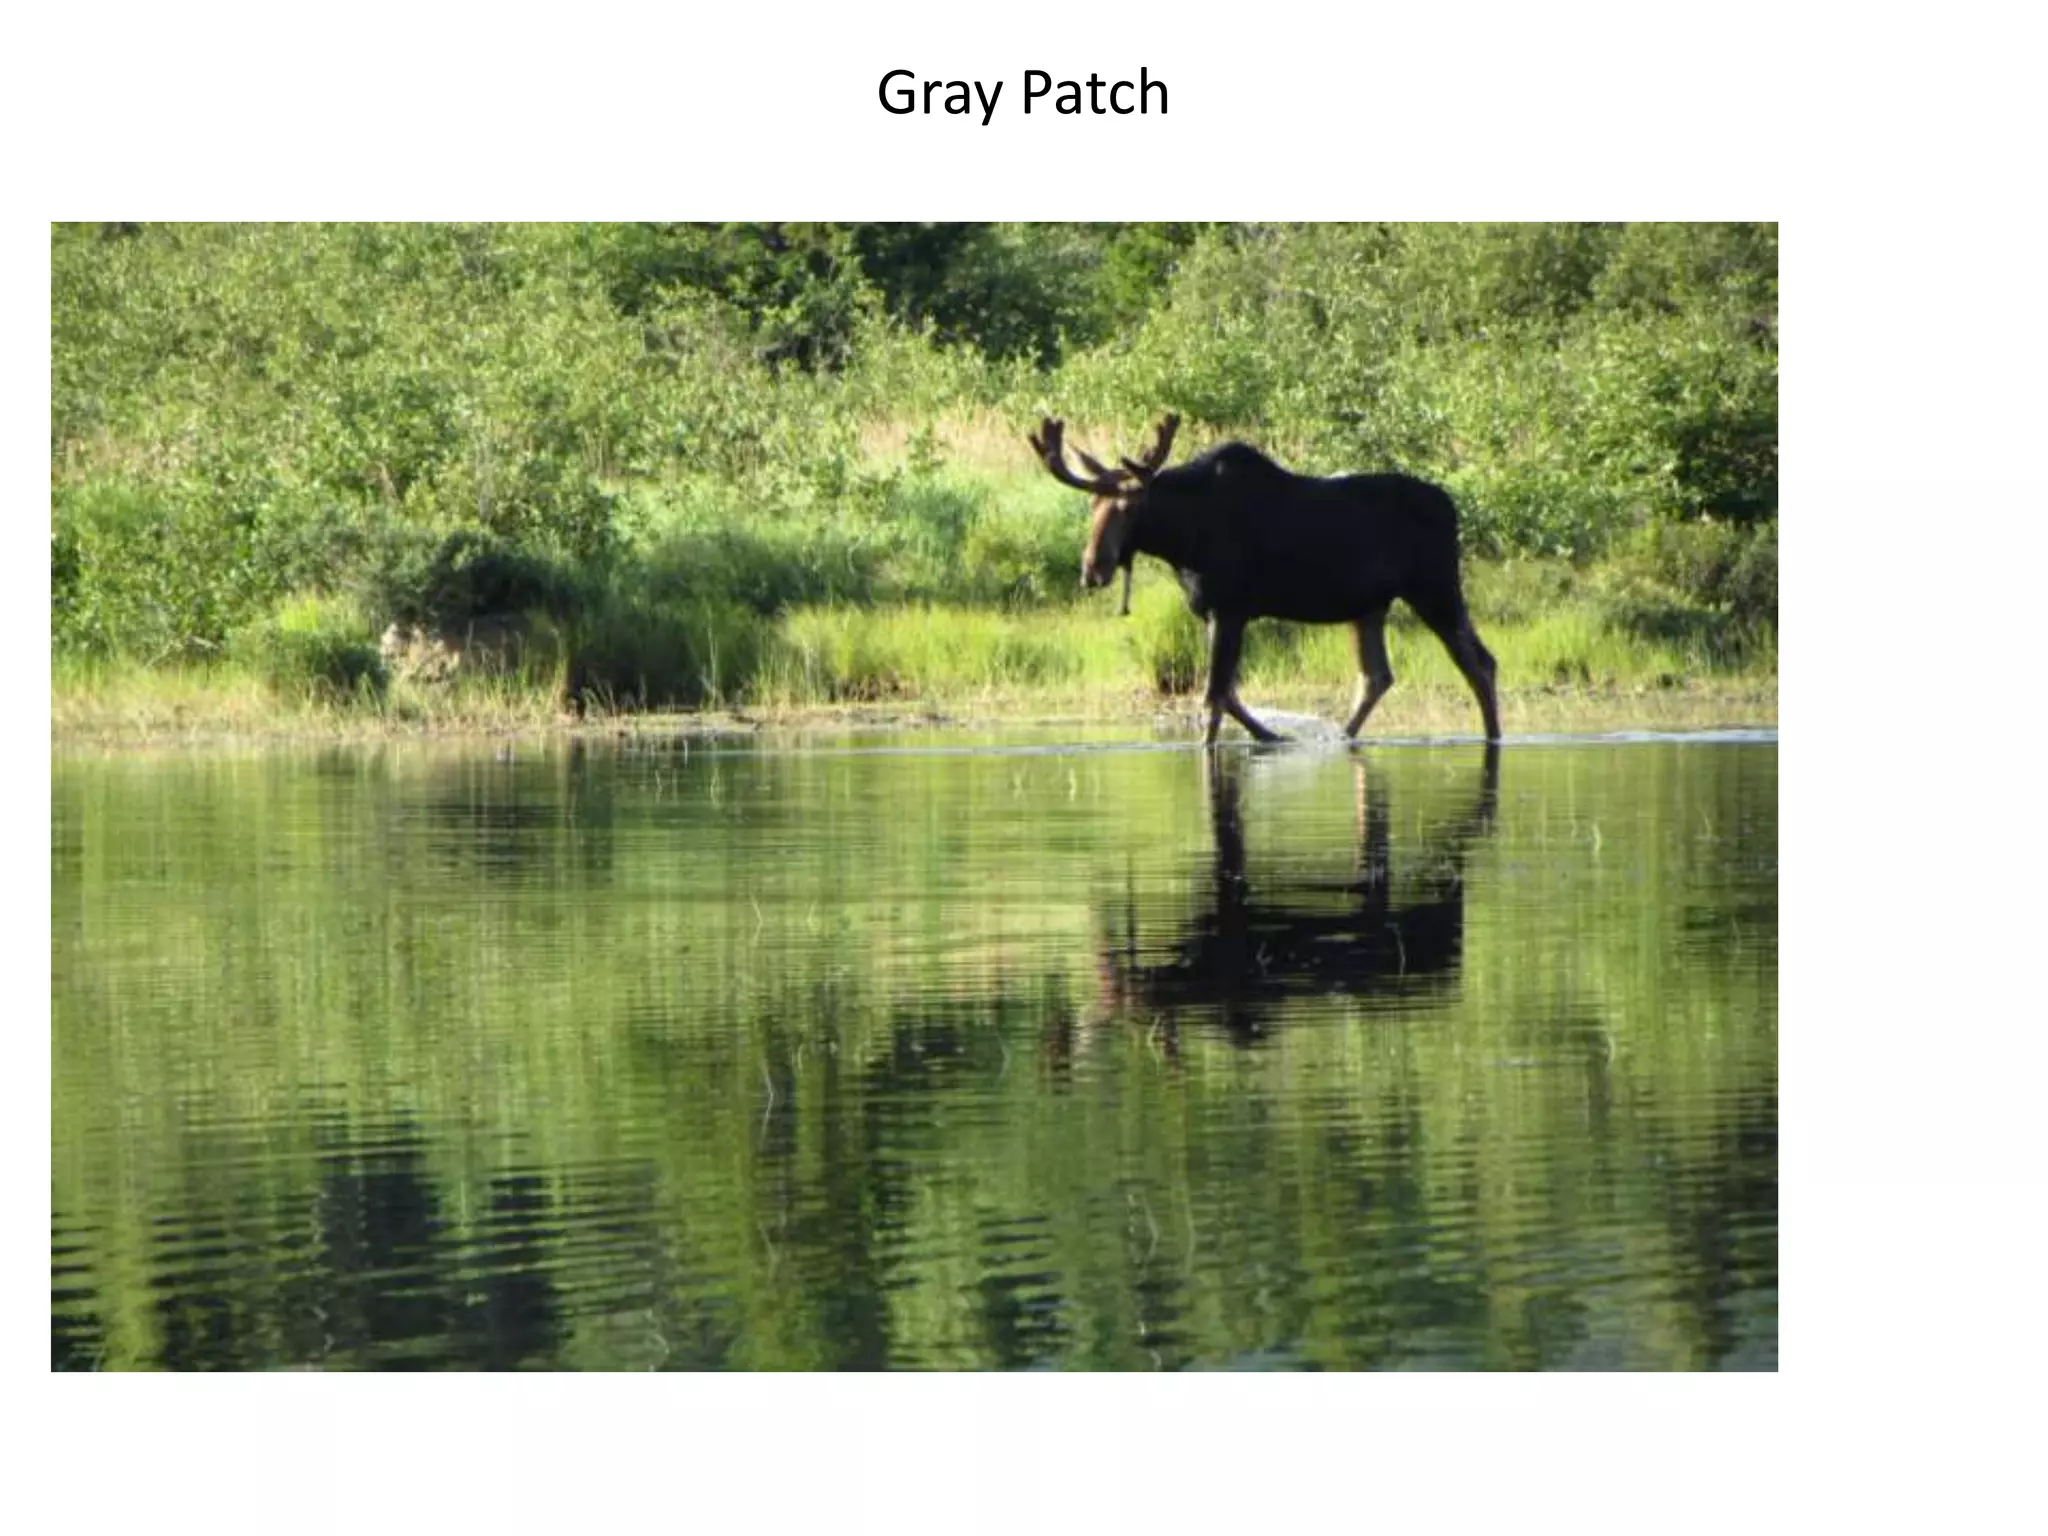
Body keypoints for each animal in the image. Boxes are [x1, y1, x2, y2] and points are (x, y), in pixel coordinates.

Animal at [1029, 414, 1502, 745]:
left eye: (1129, 507)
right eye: (1092, 506)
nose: (1092, 569)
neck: (1183, 539)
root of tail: (1453, 511)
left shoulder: (1231, 609)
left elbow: (1214, 698)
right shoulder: (1211, 612)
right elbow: (1229, 695)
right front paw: (1273, 736)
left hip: (1435, 589)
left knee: (1479, 662)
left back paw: (1493, 736)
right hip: (1371, 606)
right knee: (1377, 677)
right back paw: (1343, 737)